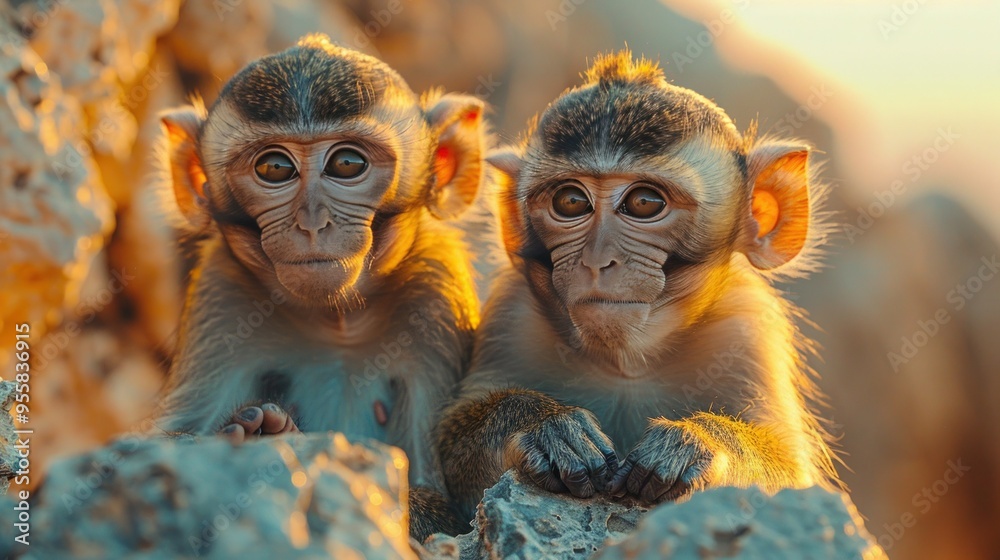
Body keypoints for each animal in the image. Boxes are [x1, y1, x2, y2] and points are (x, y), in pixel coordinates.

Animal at [154, 35, 485, 540]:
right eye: (274, 167)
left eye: (347, 164)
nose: (312, 223)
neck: (337, 320)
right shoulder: (222, 292)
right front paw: (253, 432)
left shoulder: (436, 288)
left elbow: (445, 507)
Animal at [438, 51, 839, 522]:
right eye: (570, 201)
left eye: (645, 203)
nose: (597, 260)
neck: (627, 362)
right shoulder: (512, 311)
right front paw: (545, 427)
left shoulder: (747, 326)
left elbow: (792, 479)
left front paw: (693, 444)